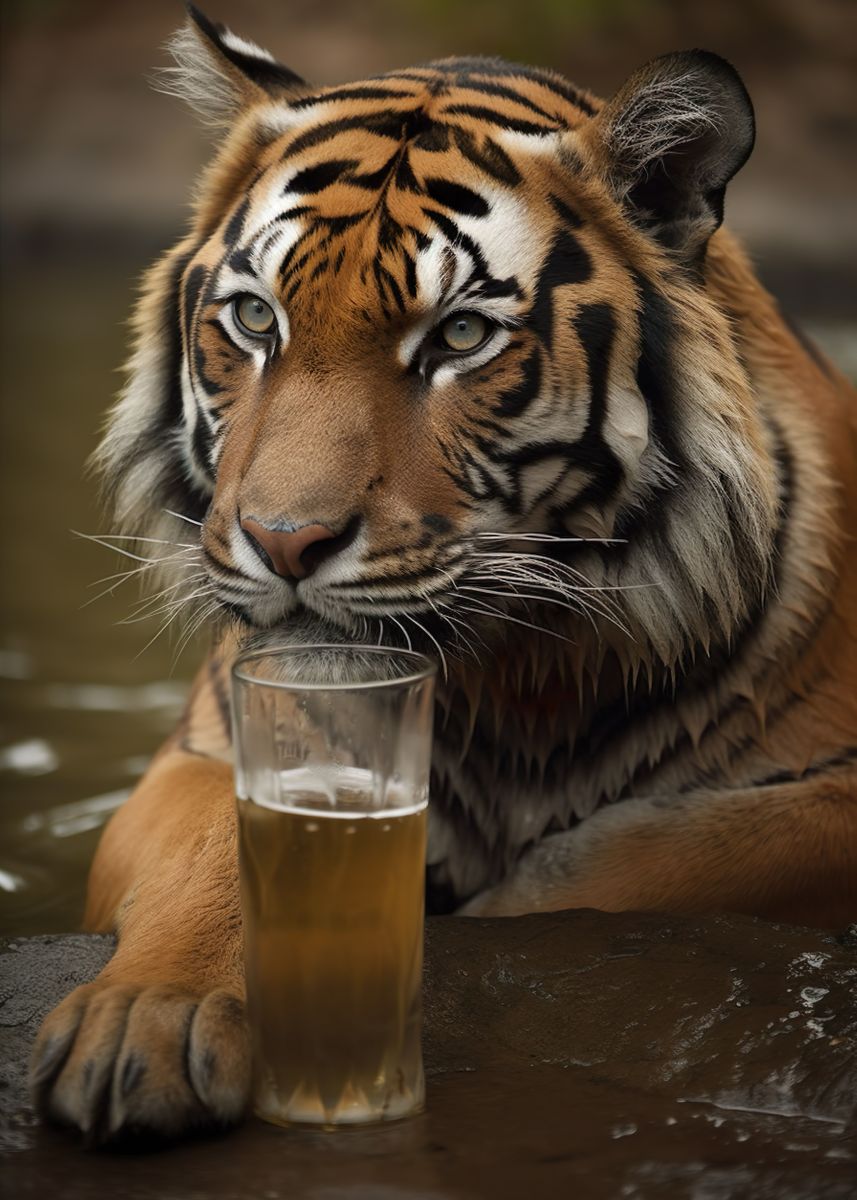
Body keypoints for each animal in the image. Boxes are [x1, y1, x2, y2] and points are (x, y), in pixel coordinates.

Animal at [30, 5, 857, 1144]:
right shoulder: (199, 754)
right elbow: (216, 846)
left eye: (459, 335)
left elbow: (662, 857)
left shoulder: (822, 801)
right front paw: (146, 1019)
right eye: (256, 320)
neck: (516, 688)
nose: (285, 542)